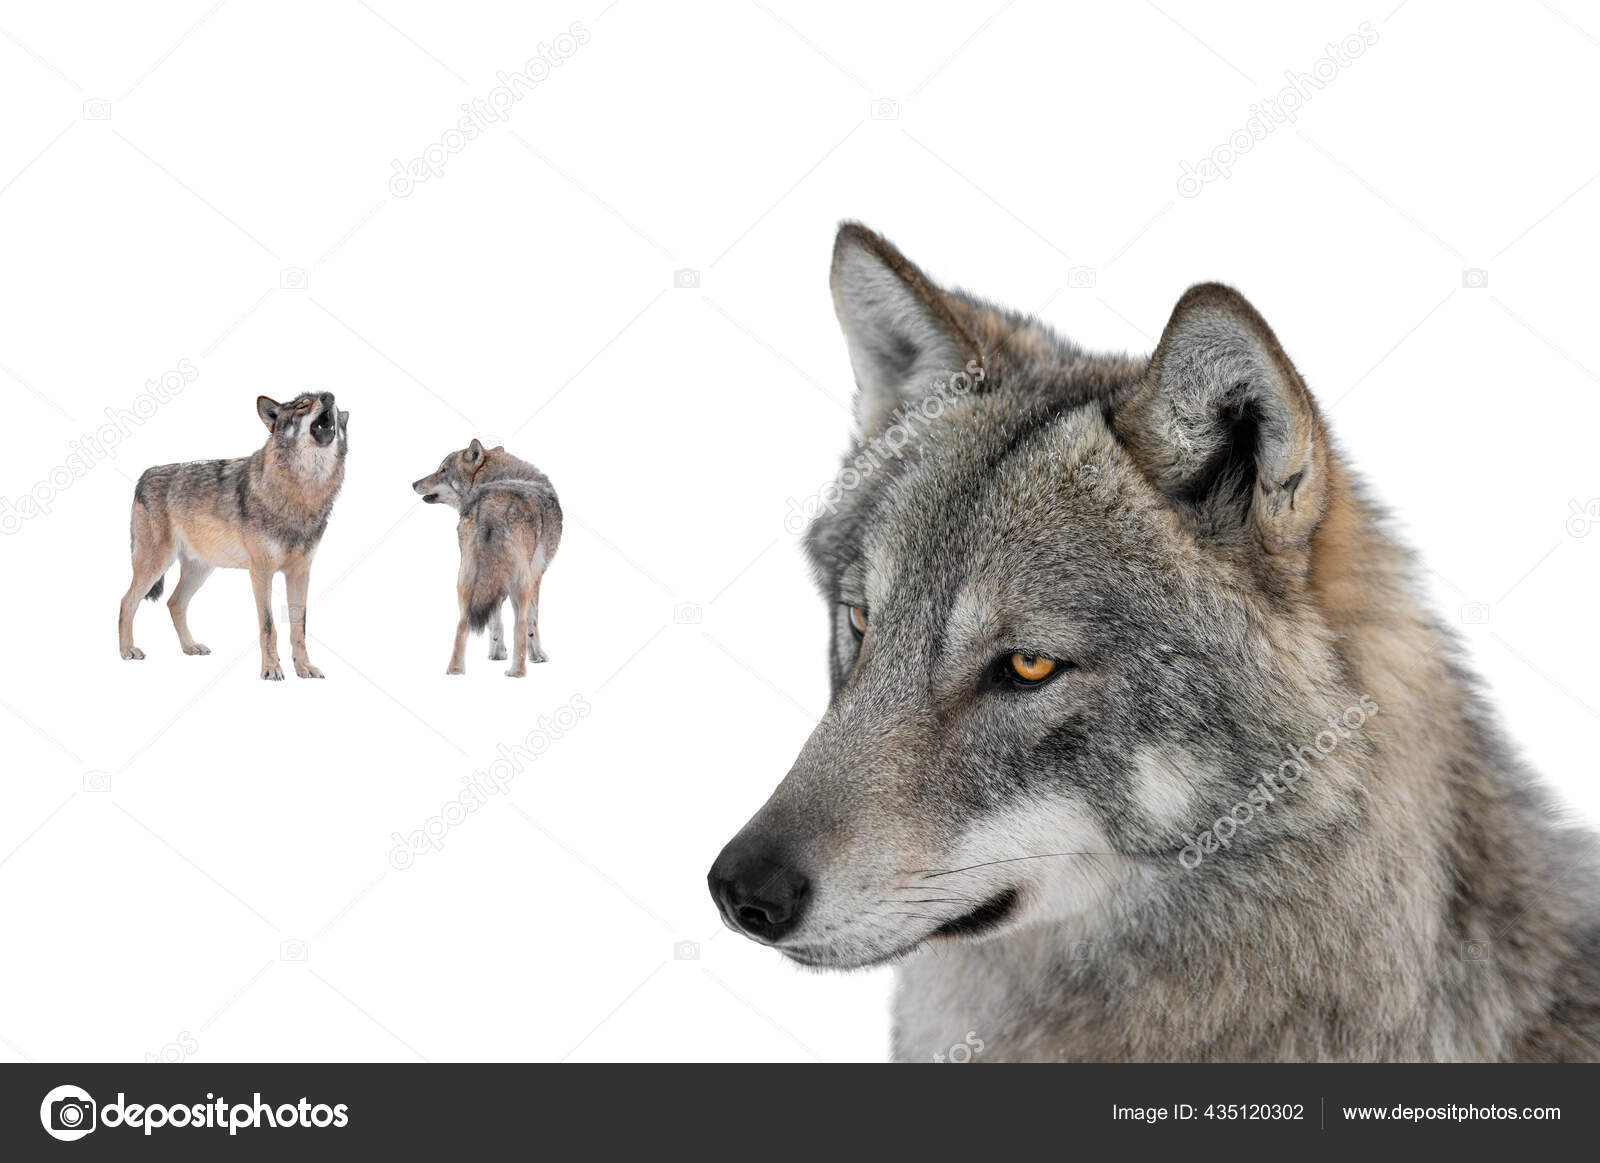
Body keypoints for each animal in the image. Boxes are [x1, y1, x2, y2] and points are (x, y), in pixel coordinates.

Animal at [118, 392, 349, 680]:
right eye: (302, 405)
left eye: (333, 403)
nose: (329, 396)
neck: (303, 491)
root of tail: (145, 474)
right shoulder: (261, 571)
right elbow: (268, 626)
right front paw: (271, 669)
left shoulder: (301, 573)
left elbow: (300, 627)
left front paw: (304, 667)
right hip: (154, 565)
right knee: (126, 602)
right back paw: (127, 650)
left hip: (199, 570)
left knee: (174, 603)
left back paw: (190, 646)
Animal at [411, 439, 562, 677]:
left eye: (443, 470)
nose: (413, 483)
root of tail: (494, 504)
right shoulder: (537, 575)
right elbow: (532, 623)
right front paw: (538, 656)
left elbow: (494, 621)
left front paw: (497, 653)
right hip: (522, 584)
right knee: (520, 625)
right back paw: (517, 672)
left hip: (465, 581)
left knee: (462, 624)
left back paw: (456, 670)